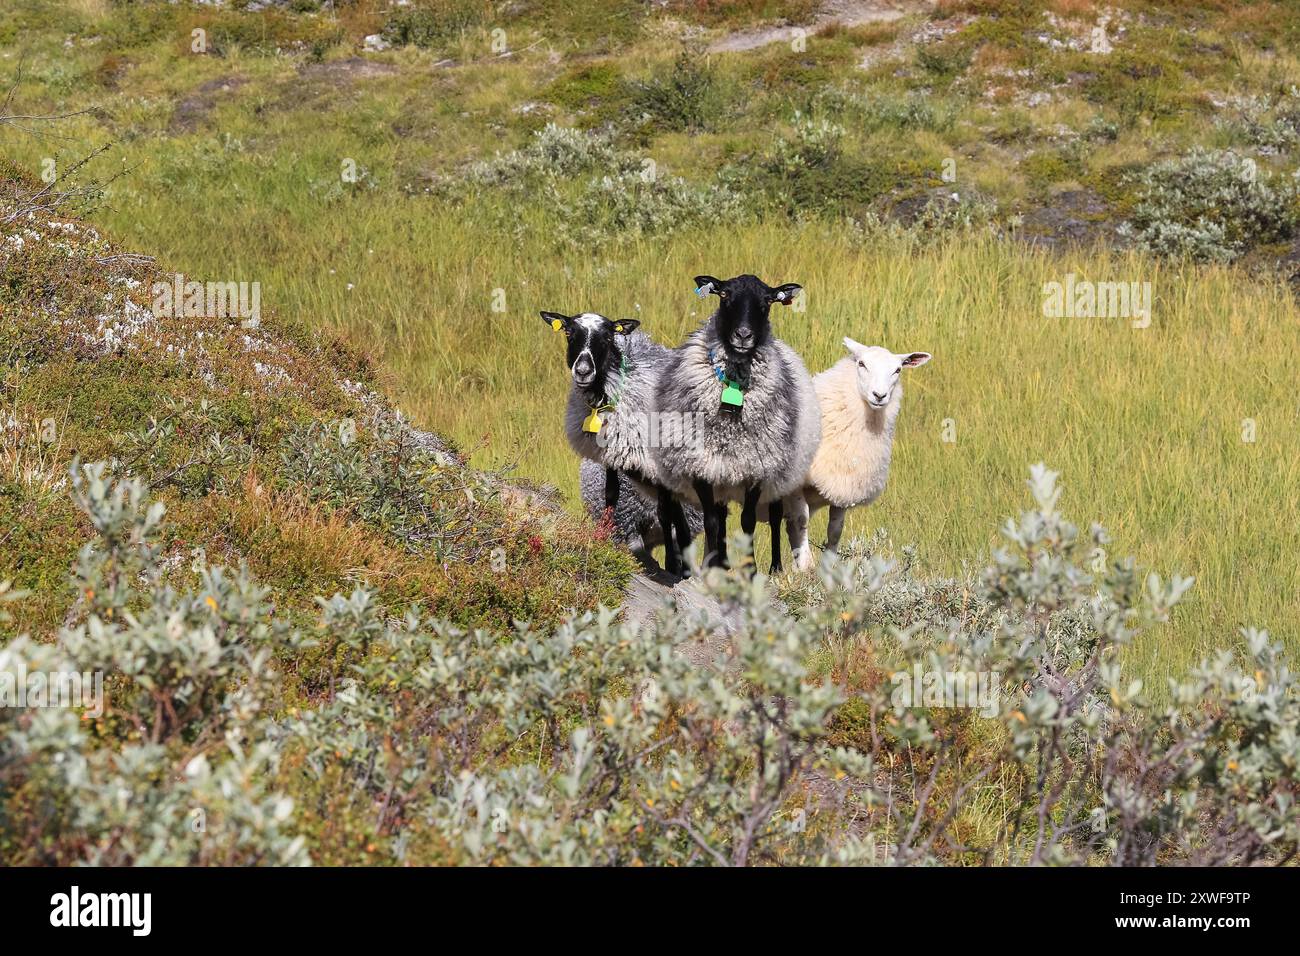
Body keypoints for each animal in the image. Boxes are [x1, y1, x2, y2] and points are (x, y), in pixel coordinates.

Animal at [540, 310, 696, 576]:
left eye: (606, 336)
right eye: (569, 332)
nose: (583, 371)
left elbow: (665, 515)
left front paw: (673, 565)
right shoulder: (611, 456)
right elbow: (611, 495)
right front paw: (602, 537)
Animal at [652, 274, 821, 573]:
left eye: (767, 301)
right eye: (724, 295)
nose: (743, 335)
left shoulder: (756, 468)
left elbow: (748, 521)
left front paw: (750, 570)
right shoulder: (702, 468)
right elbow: (711, 521)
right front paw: (713, 568)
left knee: (775, 516)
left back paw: (775, 567)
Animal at [786, 338, 931, 571]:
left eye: (898, 370)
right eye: (861, 364)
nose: (879, 396)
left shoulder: (845, 483)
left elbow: (835, 530)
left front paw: (826, 568)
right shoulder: (796, 482)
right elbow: (801, 520)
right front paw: (806, 566)